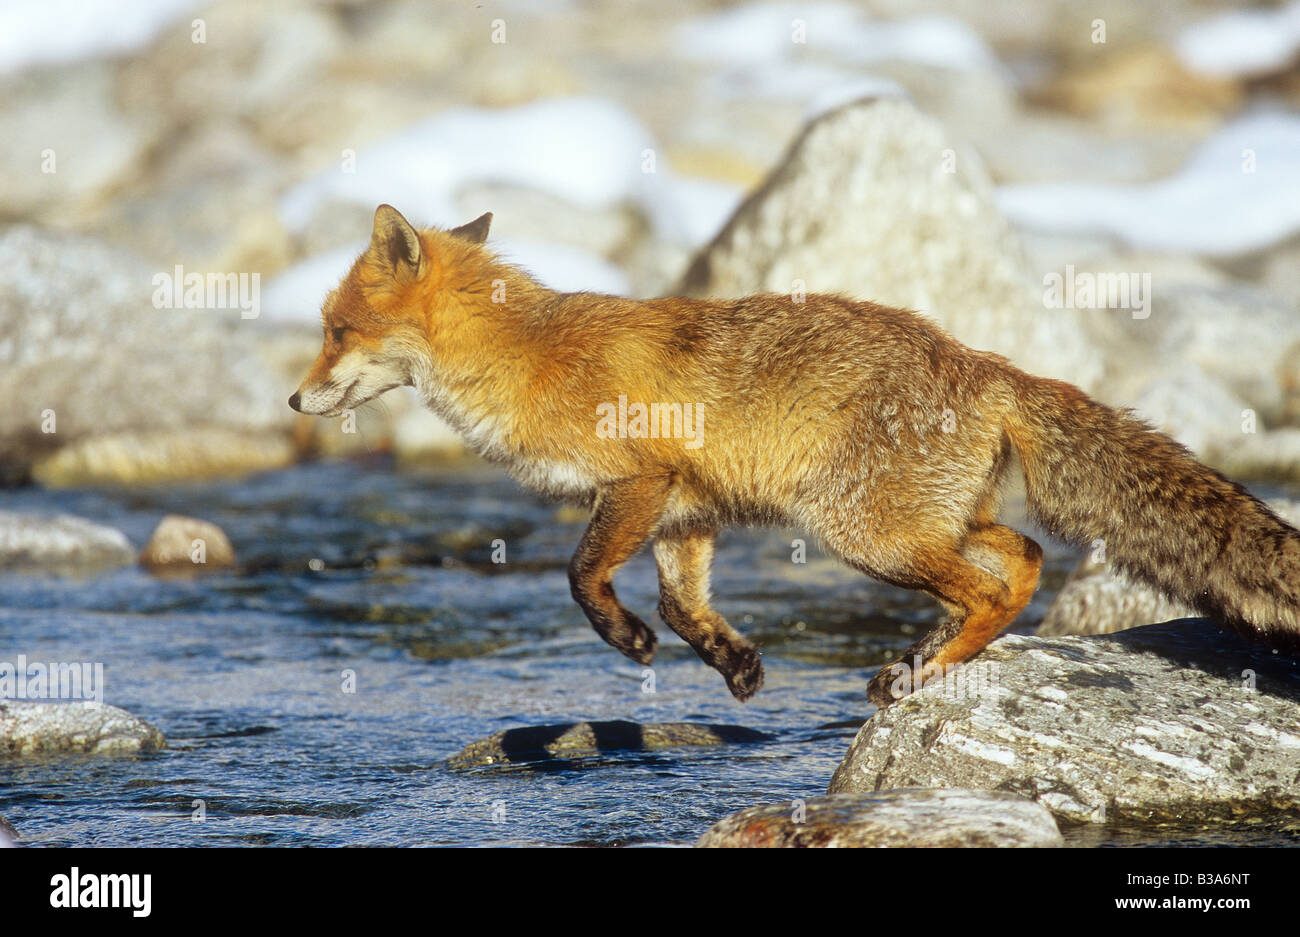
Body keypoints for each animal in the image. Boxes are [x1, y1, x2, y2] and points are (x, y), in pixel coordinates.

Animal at [290, 204, 1300, 707]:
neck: (526, 359)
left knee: (992, 583)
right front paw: (733, 664)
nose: (295, 401)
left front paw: (628, 641)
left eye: (337, 332)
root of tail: (984, 362)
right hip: (929, 522)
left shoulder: (639, 482)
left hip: (863, 532)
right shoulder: (686, 510)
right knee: (1022, 559)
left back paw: (924, 666)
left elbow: (583, 578)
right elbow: (682, 602)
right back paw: (929, 657)